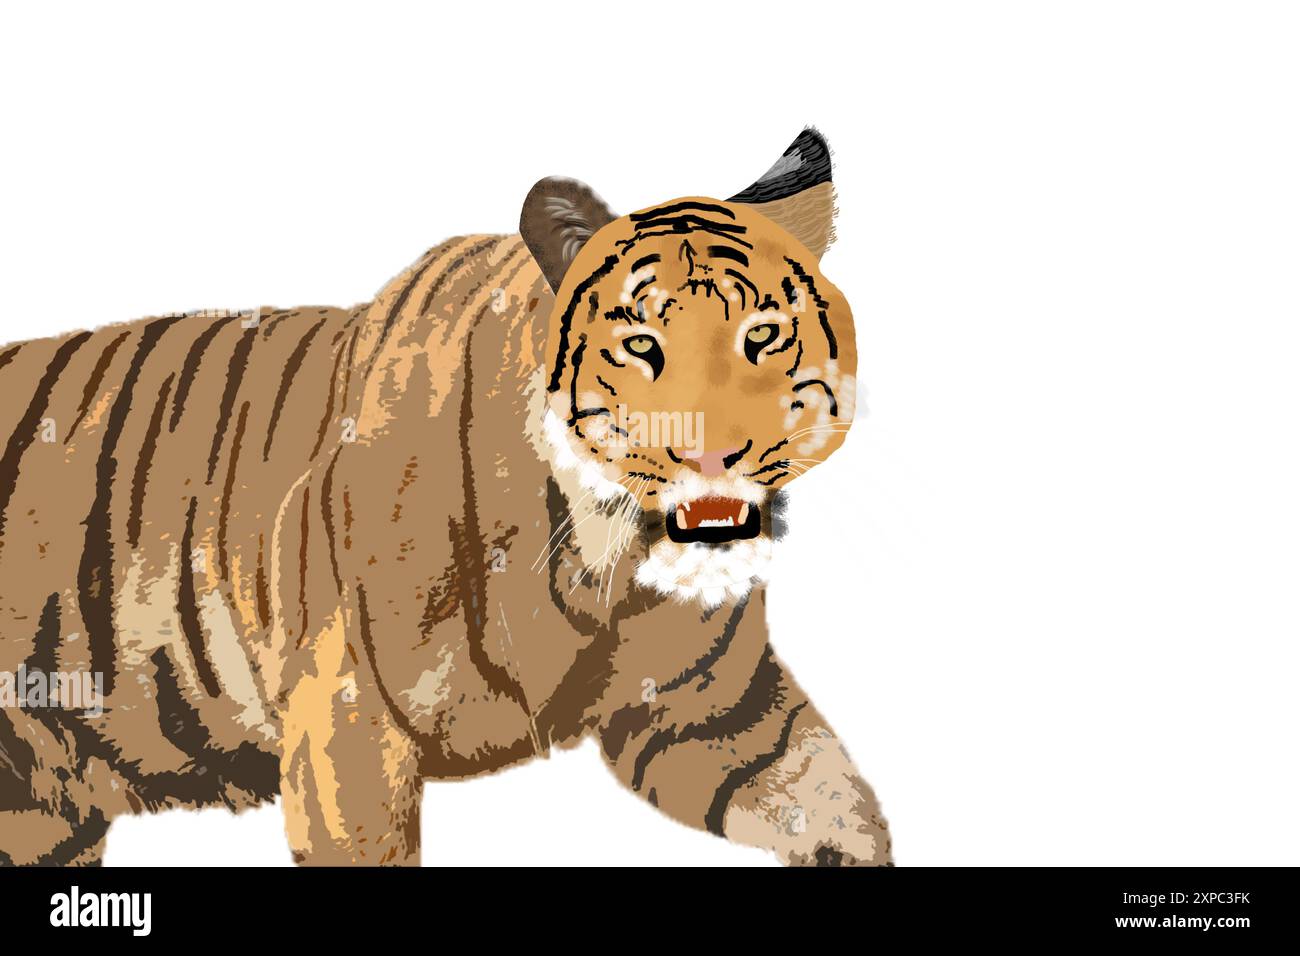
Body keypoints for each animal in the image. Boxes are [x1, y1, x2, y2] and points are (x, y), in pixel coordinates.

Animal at [0, 128, 891, 866]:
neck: (601, 573)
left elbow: (843, 809)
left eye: (762, 336)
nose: (716, 458)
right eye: (642, 346)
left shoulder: (716, 719)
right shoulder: (346, 728)